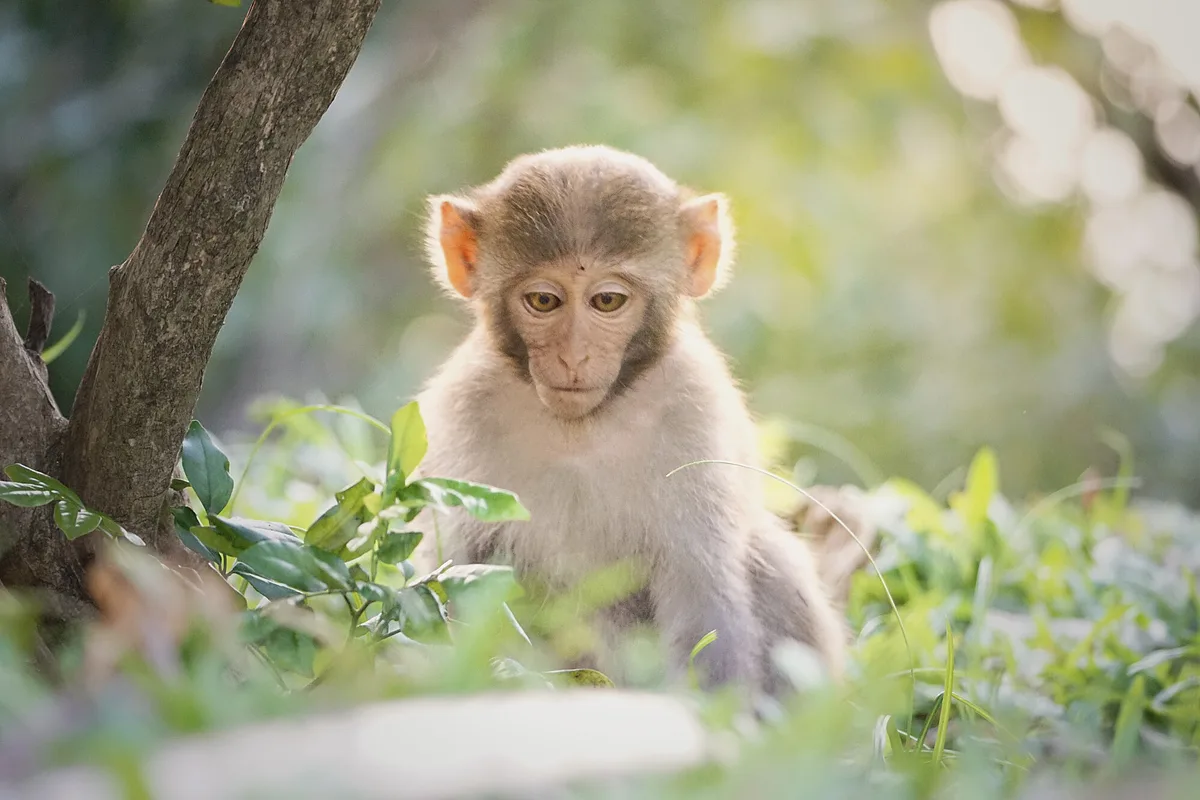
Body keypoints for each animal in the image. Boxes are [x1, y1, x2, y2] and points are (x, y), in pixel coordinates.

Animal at [409, 145, 847, 697]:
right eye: (544, 300)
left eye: (607, 300)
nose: (574, 356)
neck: (581, 426)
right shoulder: (464, 407)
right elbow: (454, 571)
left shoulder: (692, 405)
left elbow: (704, 597)